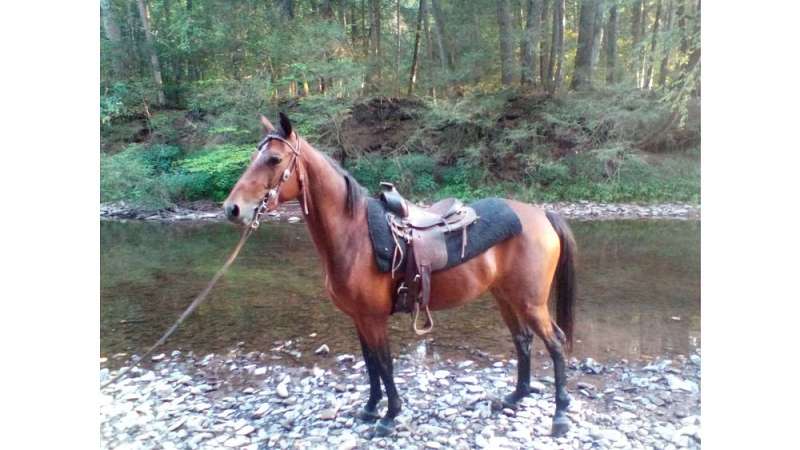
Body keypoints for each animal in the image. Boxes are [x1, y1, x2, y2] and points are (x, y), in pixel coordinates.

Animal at [223, 113, 577, 437]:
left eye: (274, 159)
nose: (232, 209)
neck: (354, 236)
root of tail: (541, 214)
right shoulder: (359, 317)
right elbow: (370, 364)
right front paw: (370, 408)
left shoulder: (374, 317)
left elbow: (384, 363)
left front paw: (390, 416)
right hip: (506, 297)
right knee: (523, 340)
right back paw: (515, 397)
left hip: (530, 302)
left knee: (555, 343)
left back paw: (560, 415)